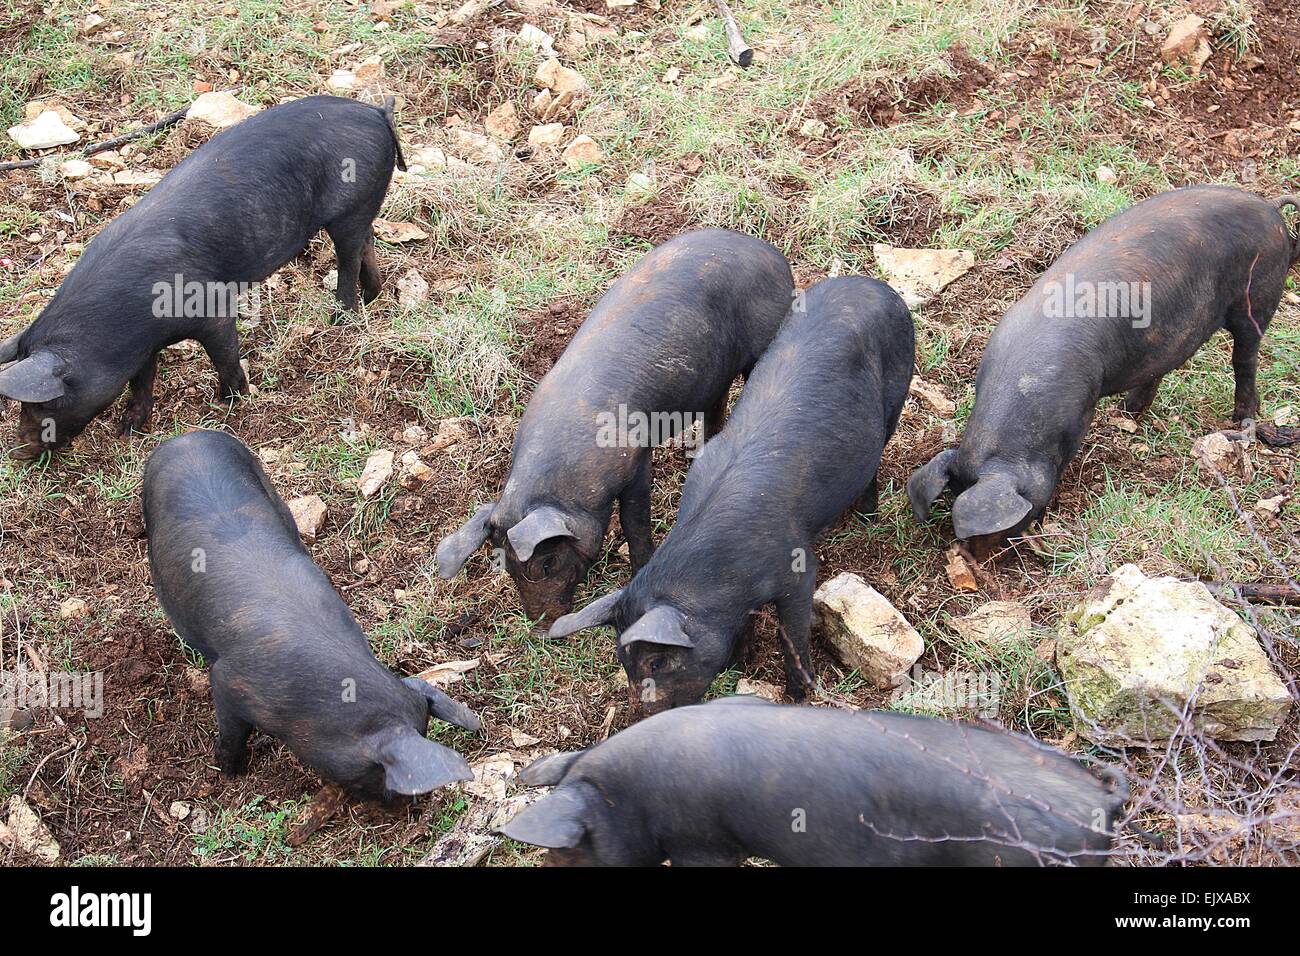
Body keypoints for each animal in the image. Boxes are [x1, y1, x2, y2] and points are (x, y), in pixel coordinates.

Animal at [0, 95, 405, 460]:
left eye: (42, 404)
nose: (18, 453)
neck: (123, 328)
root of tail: (375, 112)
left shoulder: (211, 309)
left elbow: (224, 356)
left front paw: (229, 403)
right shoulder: (142, 348)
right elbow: (141, 382)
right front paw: (127, 429)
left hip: (353, 205)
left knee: (349, 258)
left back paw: (342, 318)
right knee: (367, 242)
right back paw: (373, 296)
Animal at [143, 430, 478, 801]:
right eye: (379, 770)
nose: (411, 802)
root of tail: (184, 438)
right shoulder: (228, 680)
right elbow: (232, 733)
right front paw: (229, 773)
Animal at [435, 228, 795, 623]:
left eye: (547, 563)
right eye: (508, 568)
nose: (543, 625)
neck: (566, 484)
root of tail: (771, 253)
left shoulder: (634, 464)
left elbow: (633, 522)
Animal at [546, 277, 914, 711]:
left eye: (657, 661)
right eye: (623, 658)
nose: (645, 715)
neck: (724, 579)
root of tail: (875, 286)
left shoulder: (797, 567)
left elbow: (792, 634)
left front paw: (797, 695)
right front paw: (741, 666)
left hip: (898, 393)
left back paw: (866, 516)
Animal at [909, 187, 1300, 555]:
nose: (979, 559)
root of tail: (1270, 209)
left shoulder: (1079, 411)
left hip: (1259, 294)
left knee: (1245, 357)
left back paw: (1240, 419)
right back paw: (1127, 411)